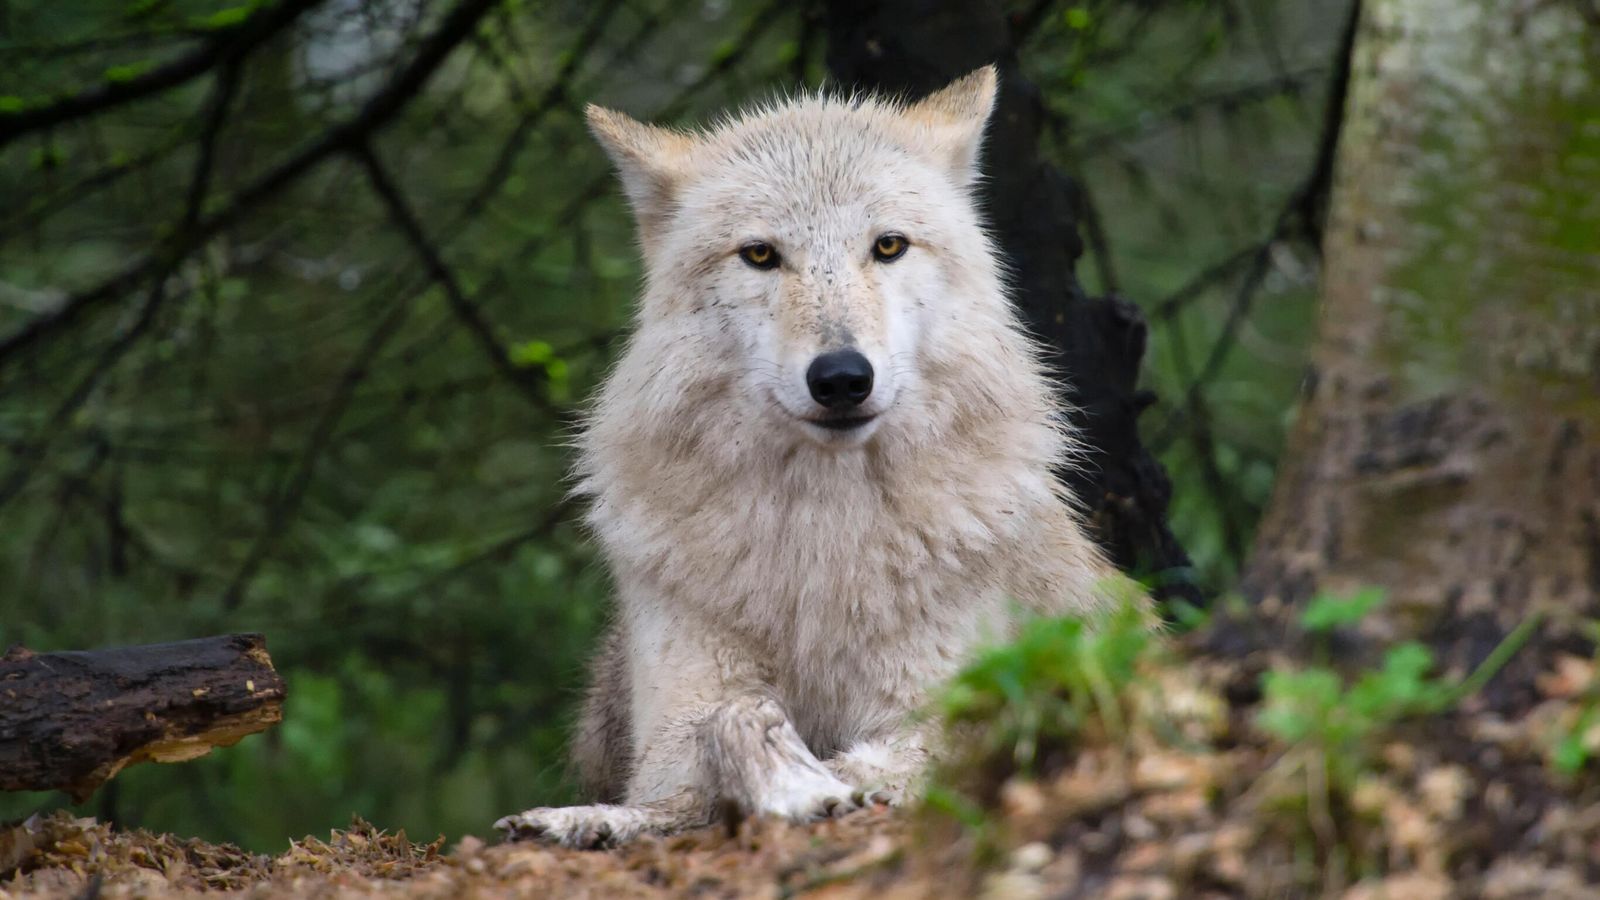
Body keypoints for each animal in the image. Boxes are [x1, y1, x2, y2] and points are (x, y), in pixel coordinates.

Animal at [494, 66, 1129, 848]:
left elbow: (869, 761)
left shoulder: (939, 705)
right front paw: (584, 818)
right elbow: (717, 734)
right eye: (761, 254)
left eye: (888, 246)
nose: (841, 378)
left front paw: (811, 789)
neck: (820, 543)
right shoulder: (680, 713)